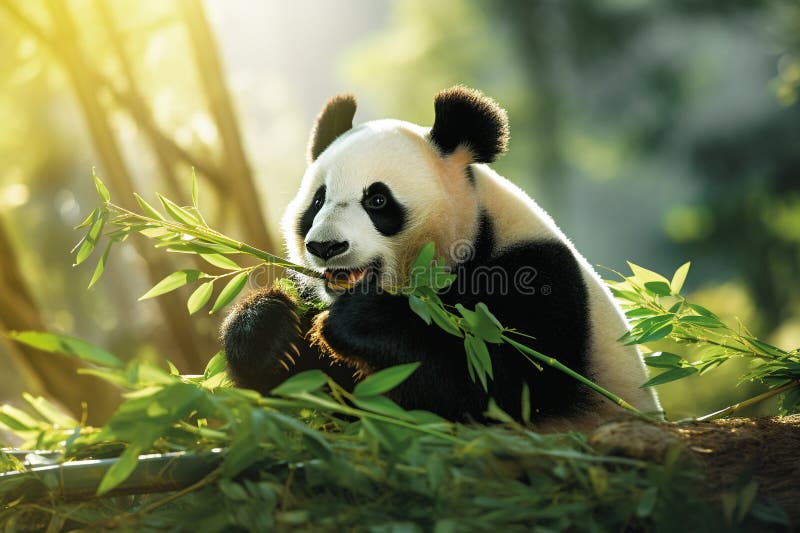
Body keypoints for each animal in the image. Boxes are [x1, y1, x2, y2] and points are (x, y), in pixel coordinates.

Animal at [222, 86, 661, 429]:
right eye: (317, 201)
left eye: (377, 200)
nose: (326, 247)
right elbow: (310, 390)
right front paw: (268, 330)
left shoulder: (540, 279)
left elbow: (500, 387)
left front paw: (361, 322)